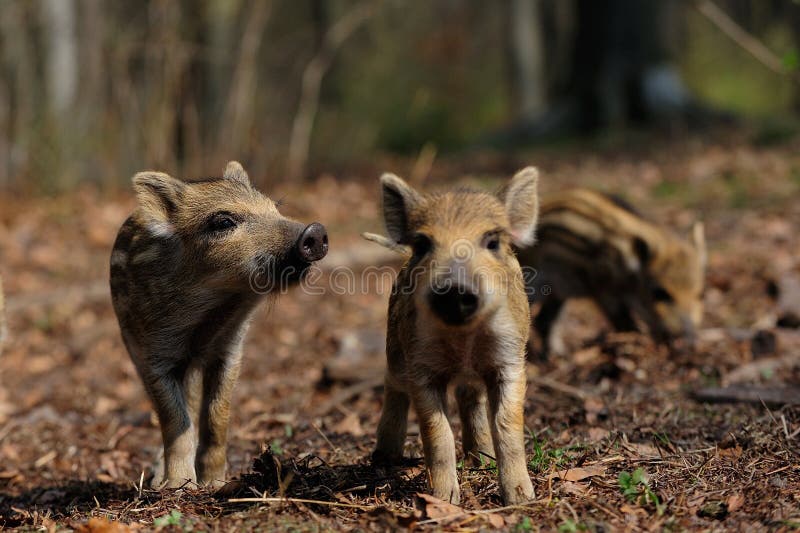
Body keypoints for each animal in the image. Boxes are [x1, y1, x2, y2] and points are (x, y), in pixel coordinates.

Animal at [110, 161, 328, 488]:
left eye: (275, 207)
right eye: (223, 221)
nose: (314, 231)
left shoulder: (229, 350)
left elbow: (217, 416)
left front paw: (215, 484)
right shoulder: (155, 357)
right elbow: (175, 421)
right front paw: (180, 487)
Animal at [371, 168, 540, 505]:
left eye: (492, 241)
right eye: (423, 244)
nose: (455, 289)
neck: (464, 341)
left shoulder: (510, 360)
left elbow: (507, 424)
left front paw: (521, 498)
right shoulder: (420, 365)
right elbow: (437, 431)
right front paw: (445, 500)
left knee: (469, 396)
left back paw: (482, 459)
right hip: (395, 351)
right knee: (392, 384)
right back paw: (382, 458)